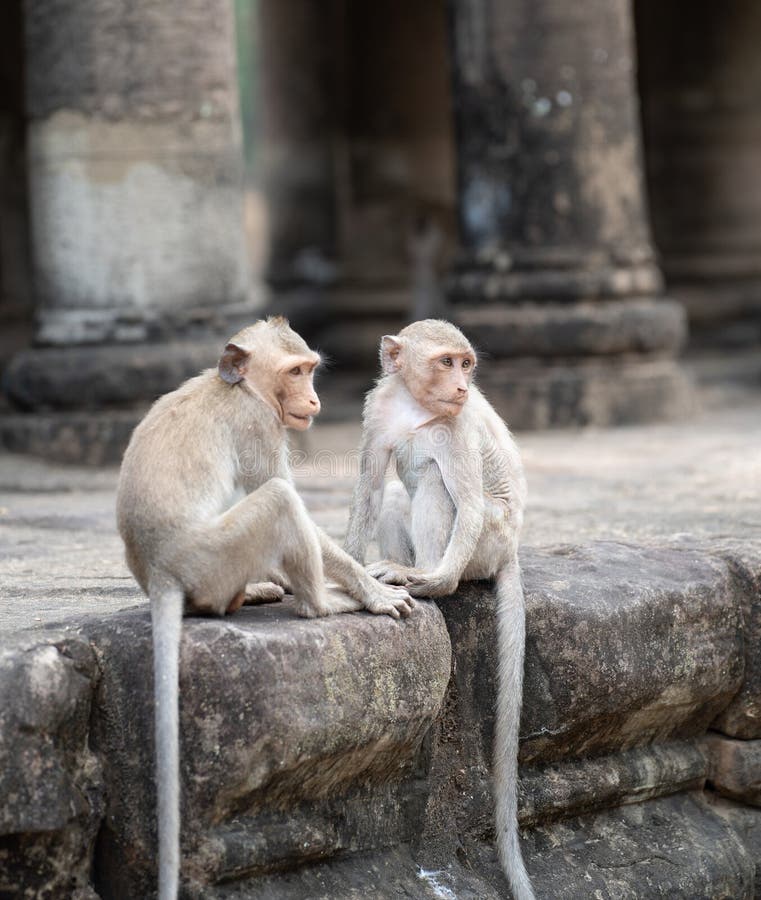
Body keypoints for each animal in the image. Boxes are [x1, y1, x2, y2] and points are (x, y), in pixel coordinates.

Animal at [116, 317, 414, 900]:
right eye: (295, 372)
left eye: (310, 369)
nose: (315, 399)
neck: (240, 388)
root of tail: (160, 572)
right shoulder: (256, 425)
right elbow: (278, 489)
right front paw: (371, 591)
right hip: (212, 555)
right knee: (277, 499)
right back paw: (324, 603)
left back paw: (250, 593)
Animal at [344, 319, 534, 900]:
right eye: (446, 362)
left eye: (466, 364)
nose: (461, 386)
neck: (415, 406)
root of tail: (511, 549)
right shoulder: (379, 408)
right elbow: (368, 491)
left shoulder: (455, 427)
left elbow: (464, 502)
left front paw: (433, 582)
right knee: (395, 496)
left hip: (488, 543)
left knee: (436, 483)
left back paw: (426, 579)